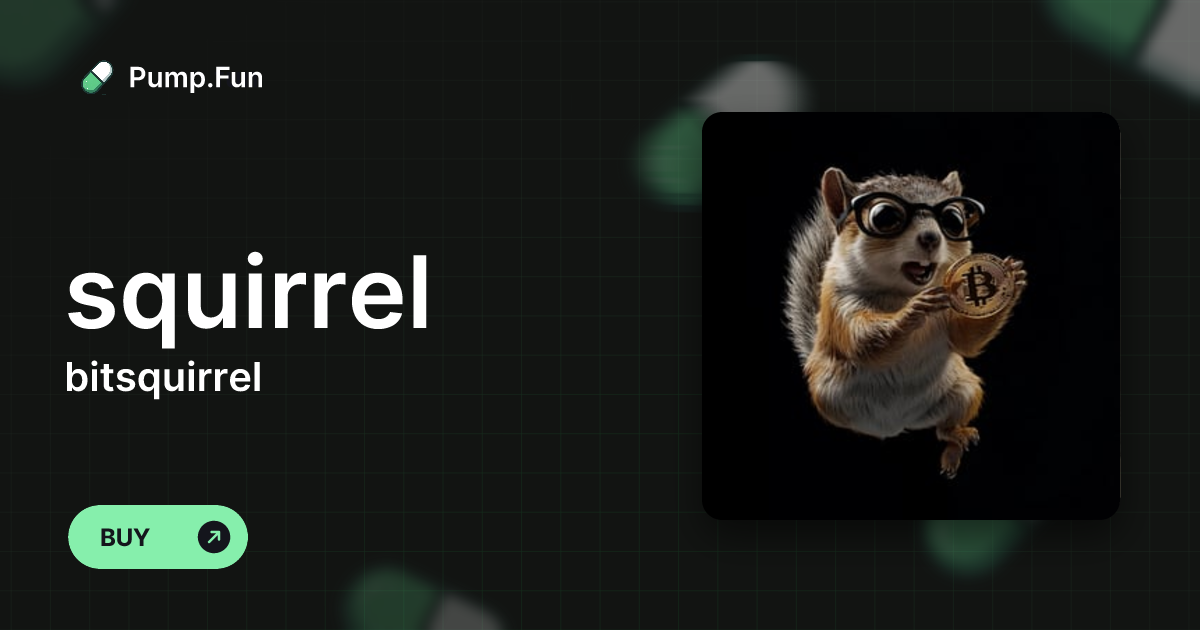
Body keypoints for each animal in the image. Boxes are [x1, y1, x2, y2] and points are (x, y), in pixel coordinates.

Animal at [784, 167, 1027, 478]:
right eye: (884, 216)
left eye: (955, 219)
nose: (931, 238)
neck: (900, 292)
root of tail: (897, 424)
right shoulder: (840, 305)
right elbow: (862, 339)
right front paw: (913, 311)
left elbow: (965, 340)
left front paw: (1007, 280)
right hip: (828, 396)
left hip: (964, 390)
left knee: (943, 429)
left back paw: (954, 445)